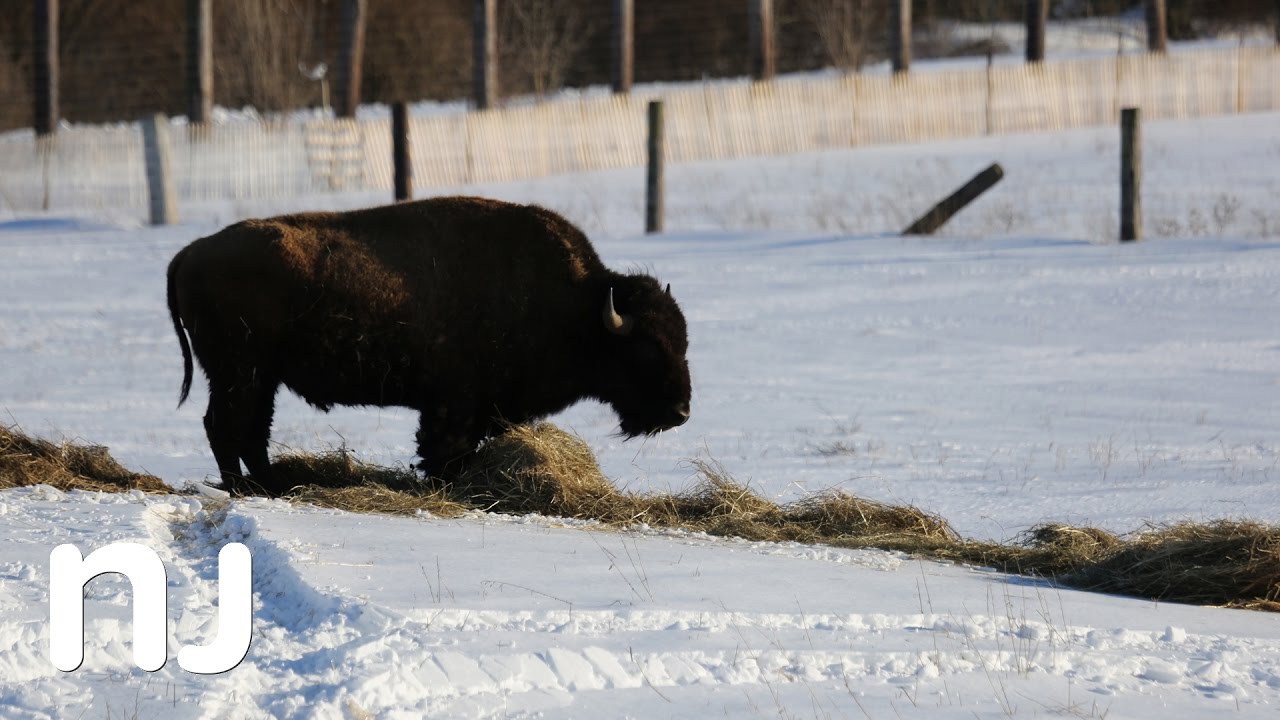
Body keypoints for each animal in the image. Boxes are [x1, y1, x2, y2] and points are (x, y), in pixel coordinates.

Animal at [167, 196, 691, 494]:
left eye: (682, 342)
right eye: (647, 349)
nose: (681, 412)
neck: (579, 305)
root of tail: (188, 254)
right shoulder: (453, 406)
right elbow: (445, 451)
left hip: (260, 378)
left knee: (251, 431)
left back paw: (271, 486)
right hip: (238, 373)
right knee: (224, 426)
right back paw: (240, 490)